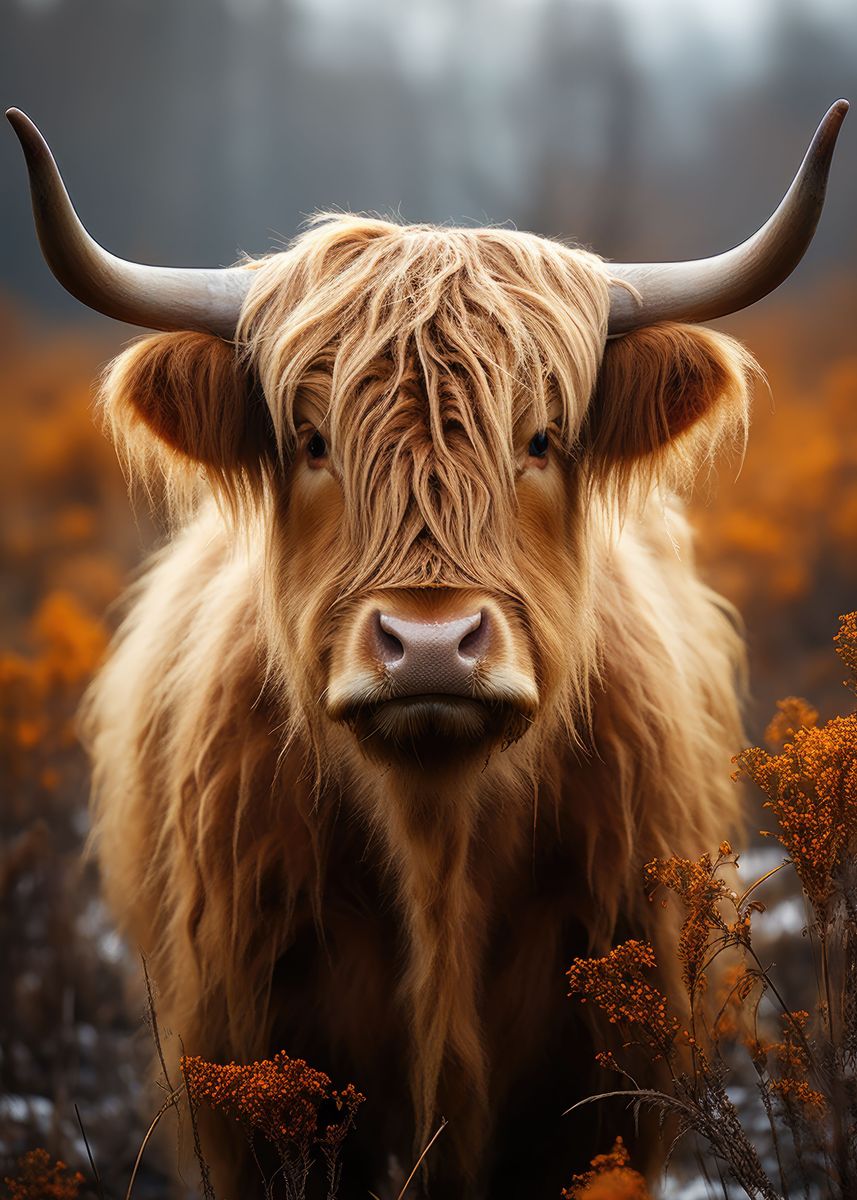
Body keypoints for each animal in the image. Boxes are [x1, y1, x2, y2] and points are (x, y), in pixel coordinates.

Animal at [8, 101, 848, 1198]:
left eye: (539, 440)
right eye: (312, 443)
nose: (432, 645)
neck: (434, 837)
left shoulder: (597, 1082)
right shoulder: (255, 1062)